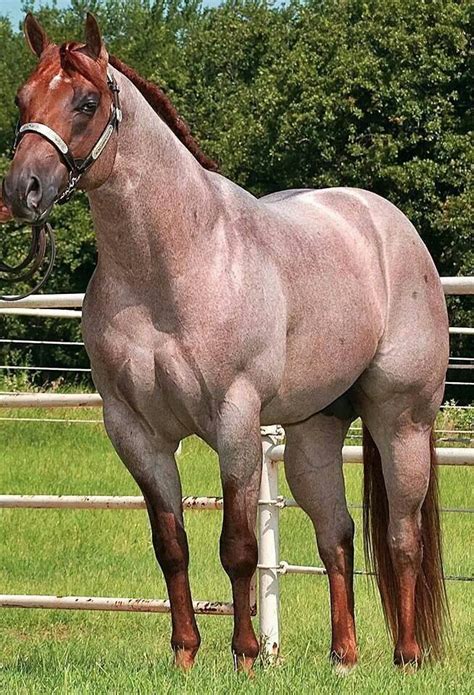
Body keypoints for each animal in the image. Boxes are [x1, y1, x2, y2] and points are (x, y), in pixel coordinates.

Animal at [1, 13, 449, 674]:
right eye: (22, 99)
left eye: (86, 102)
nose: (22, 191)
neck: (174, 264)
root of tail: (390, 227)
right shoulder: (135, 431)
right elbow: (171, 545)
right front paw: (185, 655)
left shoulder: (235, 421)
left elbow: (237, 547)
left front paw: (244, 655)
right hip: (313, 432)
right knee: (336, 535)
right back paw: (344, 656)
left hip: (403, 422)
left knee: (402, 536)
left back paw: (408, 655)